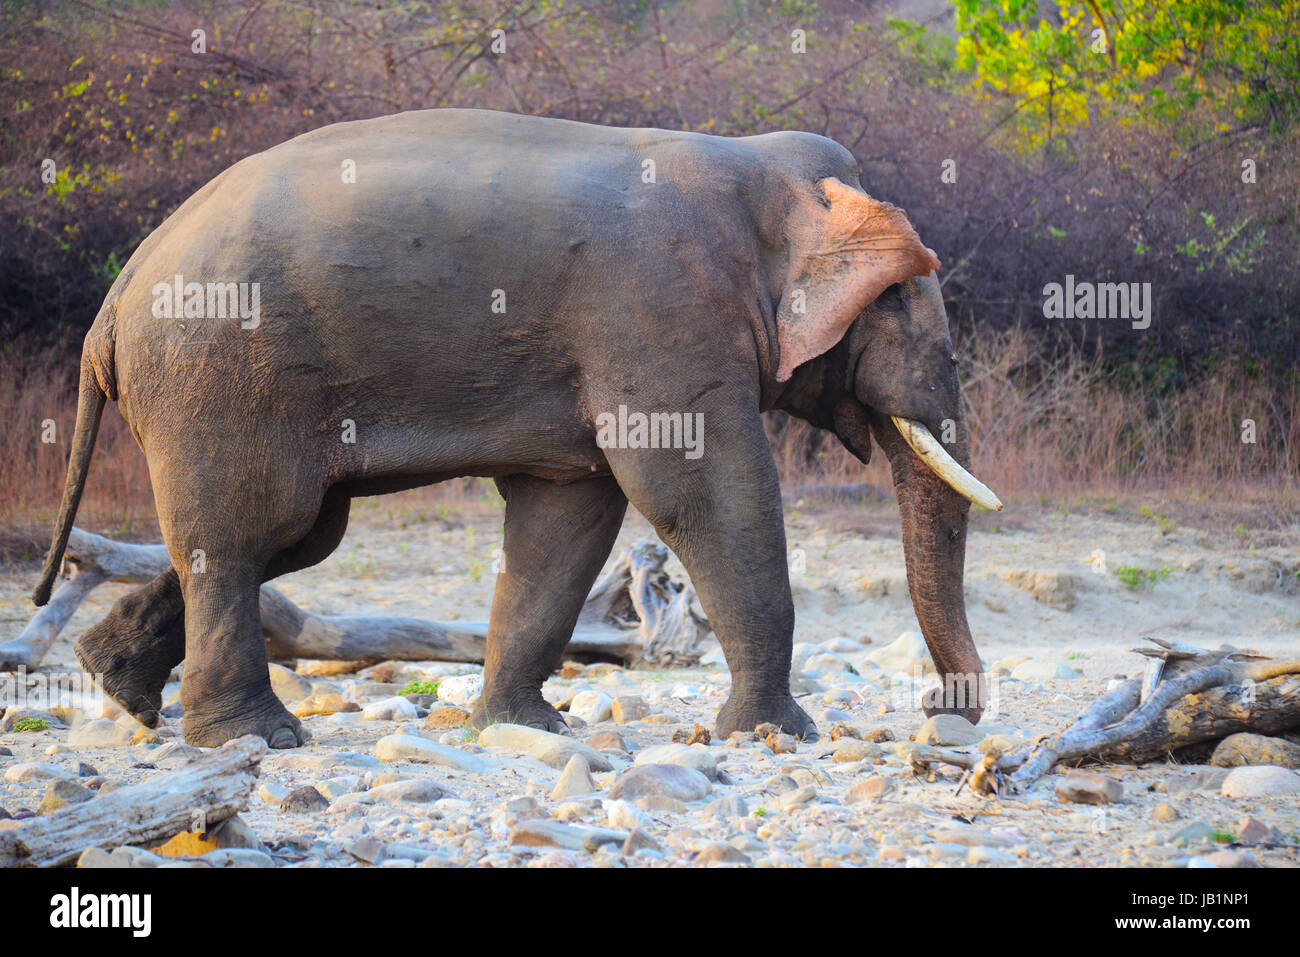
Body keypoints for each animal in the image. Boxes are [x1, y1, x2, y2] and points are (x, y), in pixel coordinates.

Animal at [33, 108, 1001, 749]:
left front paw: (526, 726)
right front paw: (775, 732)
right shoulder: (661, 310)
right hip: (220, 377)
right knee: (252, 532)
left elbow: (567, 517)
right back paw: (253, 739)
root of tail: (111, 306)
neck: (759, 168)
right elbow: (700, 488)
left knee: (290, 535)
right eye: (905, 298)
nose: (941, 715)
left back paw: (117, 684)